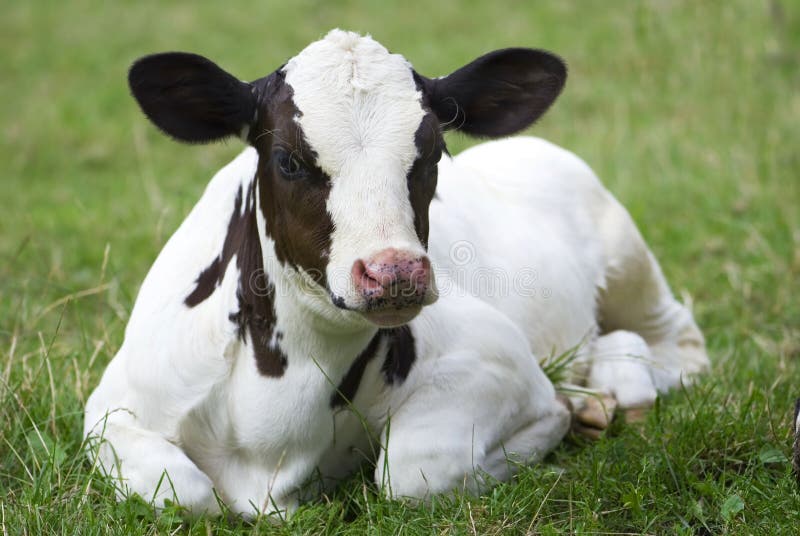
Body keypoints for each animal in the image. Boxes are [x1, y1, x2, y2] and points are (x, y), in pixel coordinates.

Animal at [84, 29, 709, 518]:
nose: (394, 272)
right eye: (288, 159)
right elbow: (185, 491)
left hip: (629, 257)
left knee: (678, 344)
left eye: (431, 152)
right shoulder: (110, 409)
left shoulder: (497, 360)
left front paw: (564, 418)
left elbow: (410, 472)